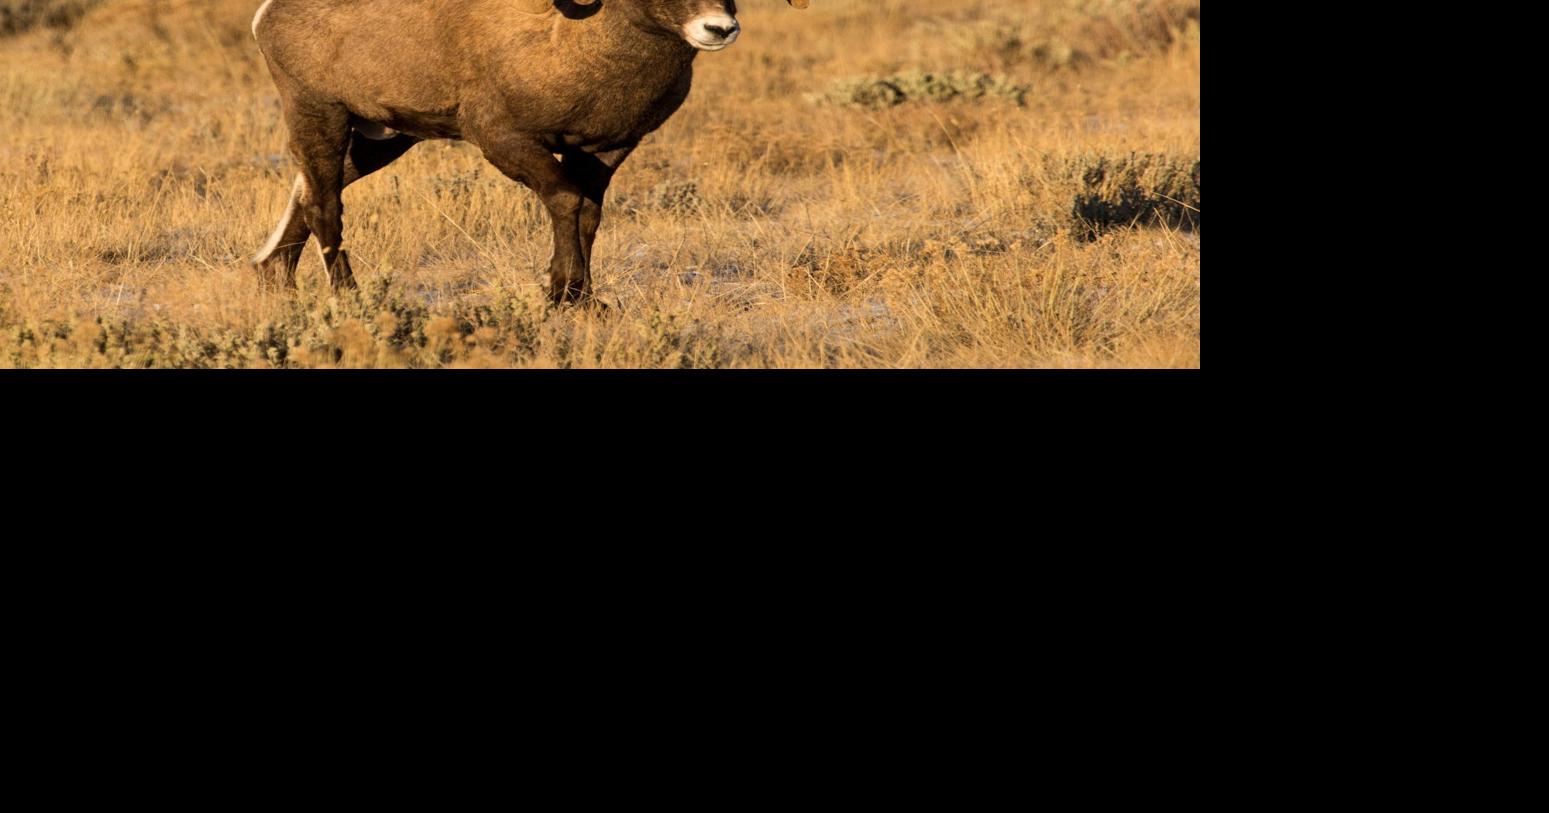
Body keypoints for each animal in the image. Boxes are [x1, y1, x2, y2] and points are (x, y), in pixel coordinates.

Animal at [250, 0, 811, 307]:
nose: (719, 28)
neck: (572, 43)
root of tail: (266, 16)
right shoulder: (507, 142)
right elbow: (565, 202)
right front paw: (564, 295)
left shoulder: (604, 151)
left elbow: (588, 215)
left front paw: (584, 300)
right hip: (321, 115)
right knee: (325, 206)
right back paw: (348, 297)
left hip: (384, 140)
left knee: (309, 197)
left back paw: (273, 277)